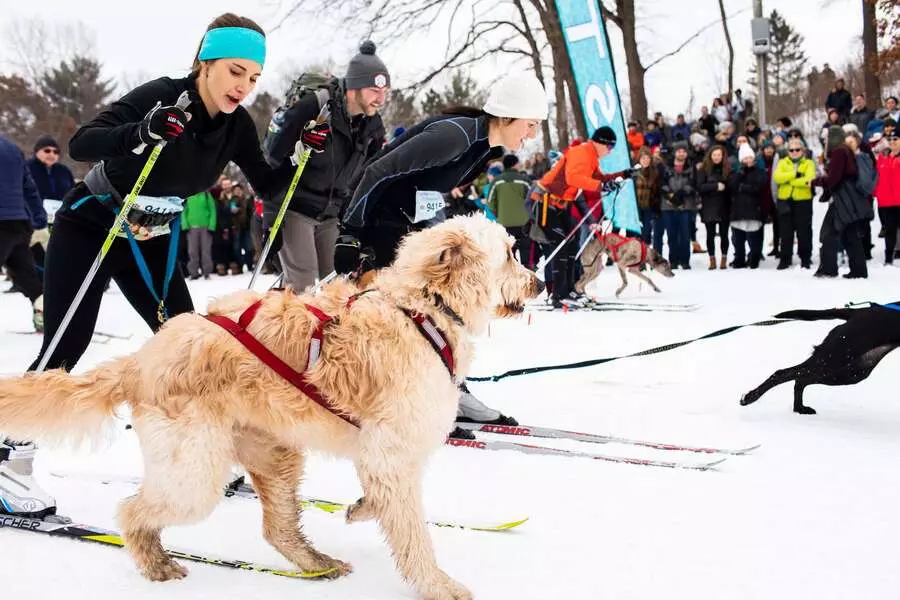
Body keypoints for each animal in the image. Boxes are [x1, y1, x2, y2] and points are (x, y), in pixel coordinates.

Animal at [0, 213, 540, 600]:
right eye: (511, 252)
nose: (538, 283)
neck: (421, 309)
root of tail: (144, 359)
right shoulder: (392, 451)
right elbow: (411, 530)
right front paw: (438, 584)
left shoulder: (384, 455)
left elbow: (382, 500)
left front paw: (360, 509)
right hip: (195, 473)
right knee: (132, 510)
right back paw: (157, 564)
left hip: (275, 456)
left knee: (277, 528)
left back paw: (318, 564)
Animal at [740, 302, 900, 414]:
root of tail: (859, 312)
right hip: (834, 358)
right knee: (783, 373)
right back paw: (750, 397)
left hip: (853, 371)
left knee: (800, 379)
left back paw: (799, 408)